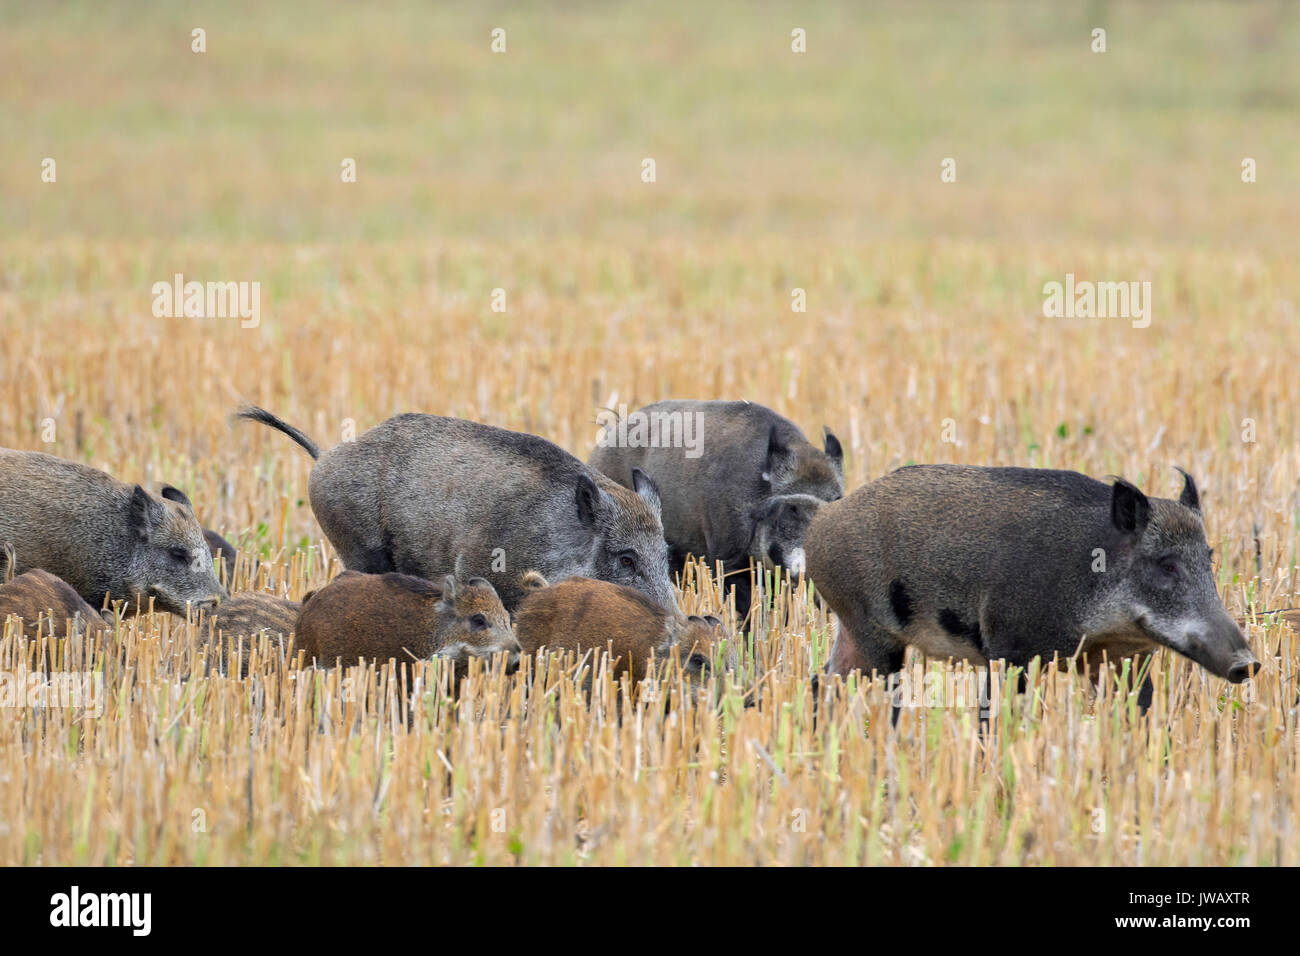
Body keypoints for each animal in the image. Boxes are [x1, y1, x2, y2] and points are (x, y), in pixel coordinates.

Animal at [805, 465, 1261, 707]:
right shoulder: (1009, 650)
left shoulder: (1125, 661)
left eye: (1209, 558)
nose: (1248, 664)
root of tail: (822, 520)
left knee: (819, 681)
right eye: (1167, 565)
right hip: (872, 632)